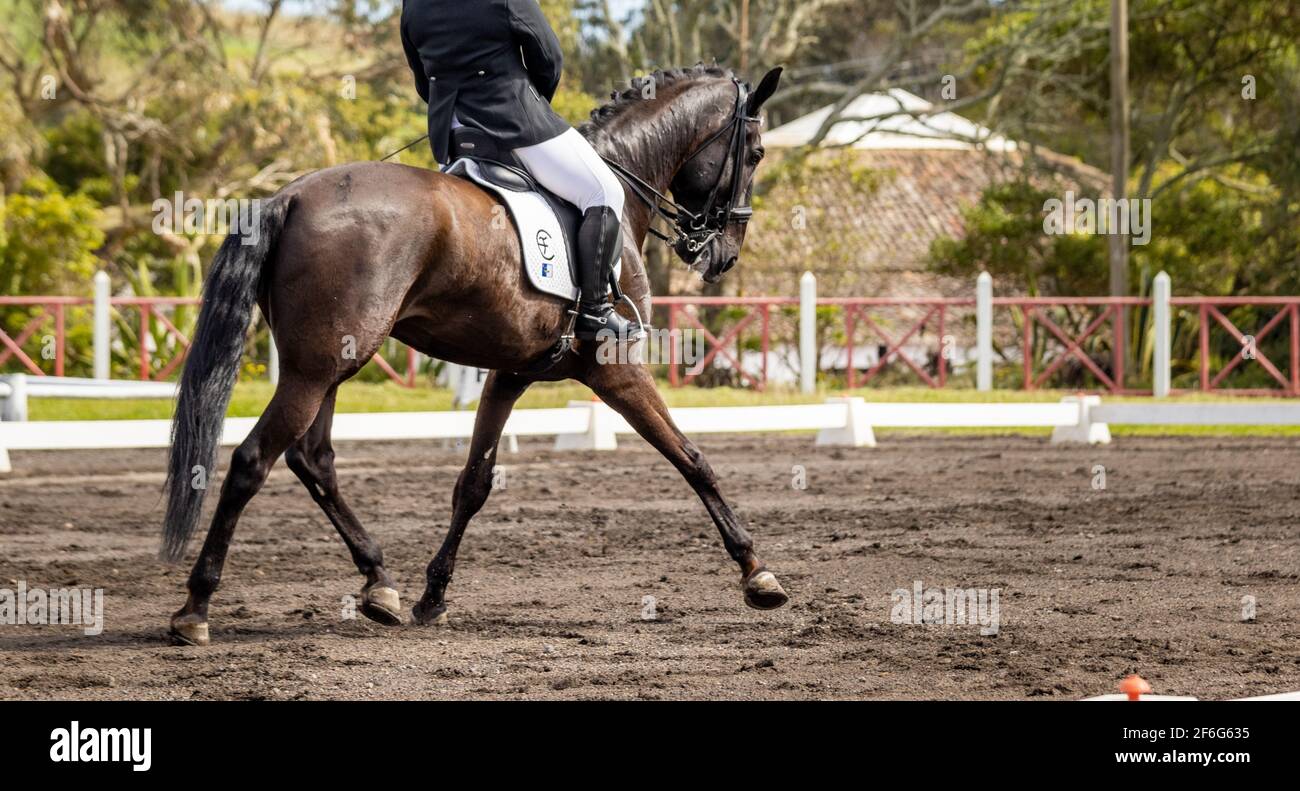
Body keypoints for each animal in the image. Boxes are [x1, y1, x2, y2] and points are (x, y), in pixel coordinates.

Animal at [161, 64, 789, 646]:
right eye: (757, 153)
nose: (723, 255)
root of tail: (289, 195)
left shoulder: (510, 373)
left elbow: (474, 483)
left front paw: (434, 594)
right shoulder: (615, 370)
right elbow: (692, 458)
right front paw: (757, 573)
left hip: (328, 365)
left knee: (313, 460)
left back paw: (379, 584)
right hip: (317, 370)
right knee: (251, 461)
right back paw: (195, 608)